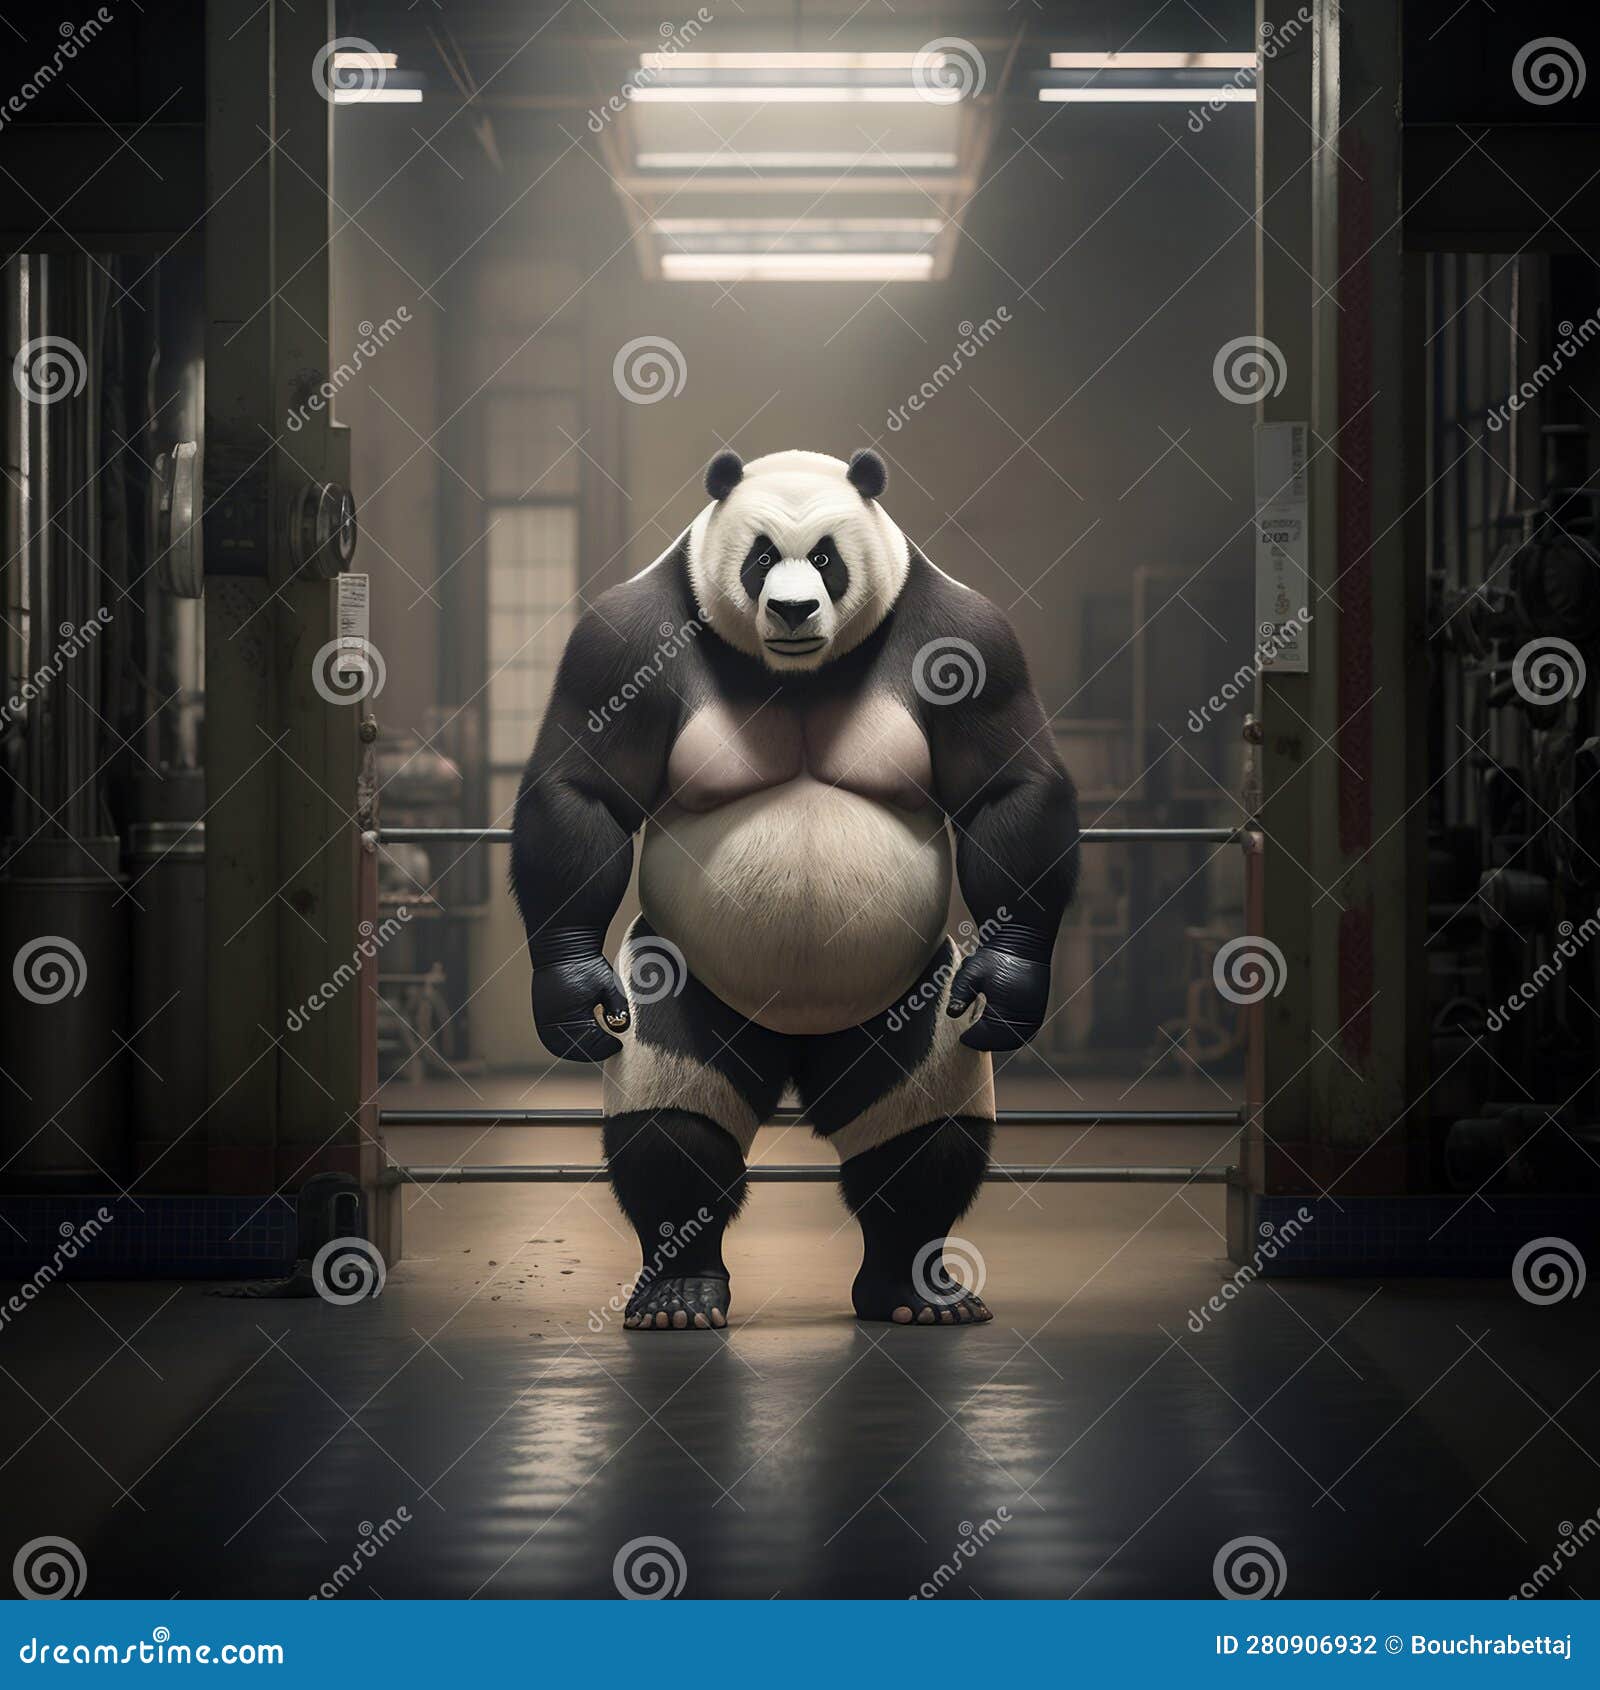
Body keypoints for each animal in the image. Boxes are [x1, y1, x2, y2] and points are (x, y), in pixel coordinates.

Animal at [512, 448, 1078, 1330]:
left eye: (826, 558)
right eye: (759, 557)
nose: (791, 610)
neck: (800, 668)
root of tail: (796, 1042)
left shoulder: (965, 634)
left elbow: (1006, 788)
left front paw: (1013, 978)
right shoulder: (623, 639)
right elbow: (584, 789)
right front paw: (571, 991)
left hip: (909, 992)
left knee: (920, 1125)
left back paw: (911, 1288)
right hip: (681, 974)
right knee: (675, 1116)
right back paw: (681, 1290)